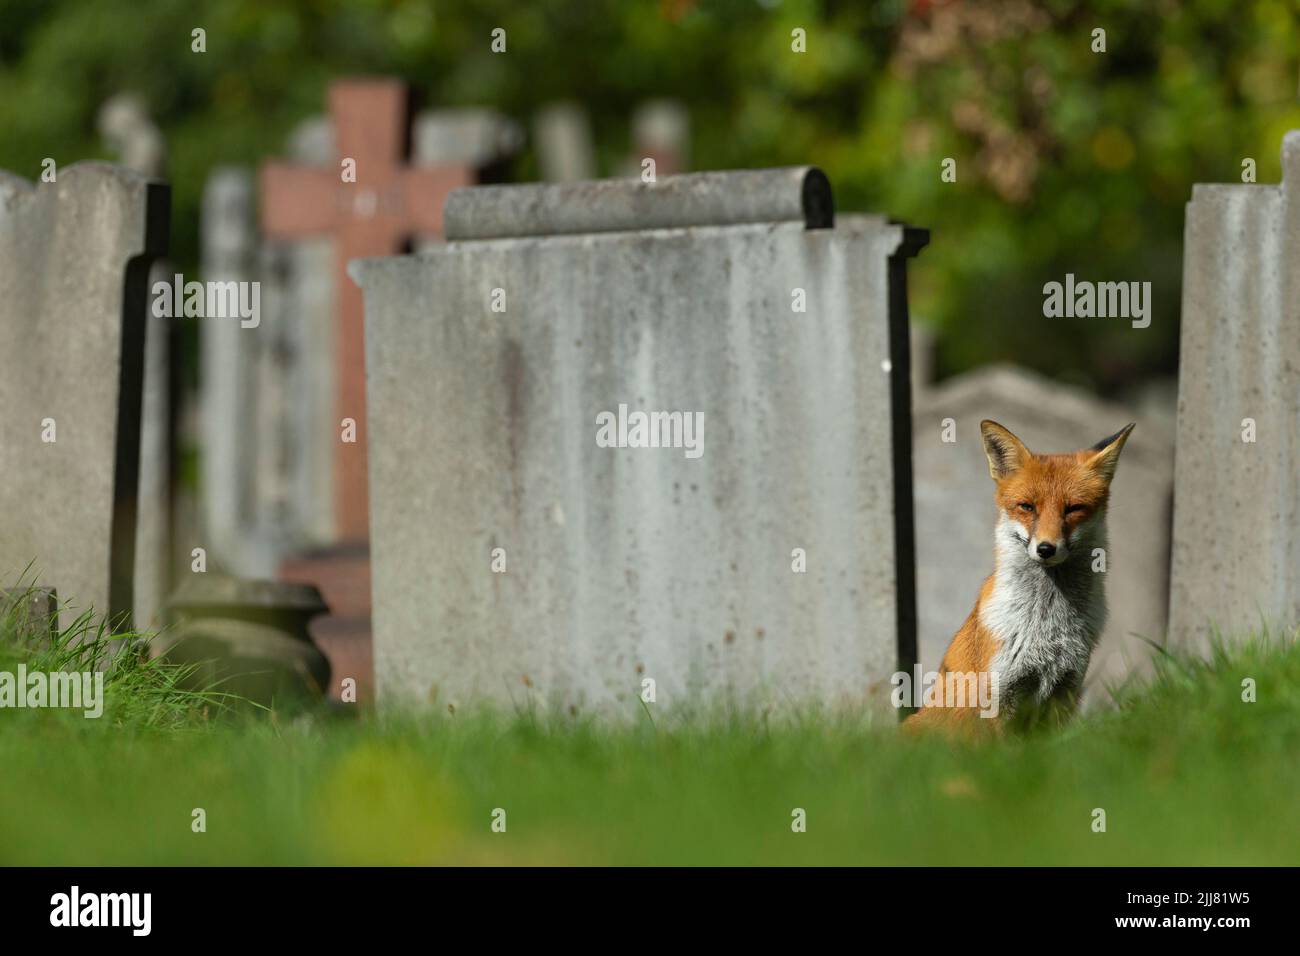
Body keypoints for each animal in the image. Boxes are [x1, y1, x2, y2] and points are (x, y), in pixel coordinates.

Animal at [904, 419, 1135, 736]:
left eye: (1073, 508)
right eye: (1027, 506)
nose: (1046, 548)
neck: (1047, 625)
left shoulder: (1064, 688)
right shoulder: (1001, 695)